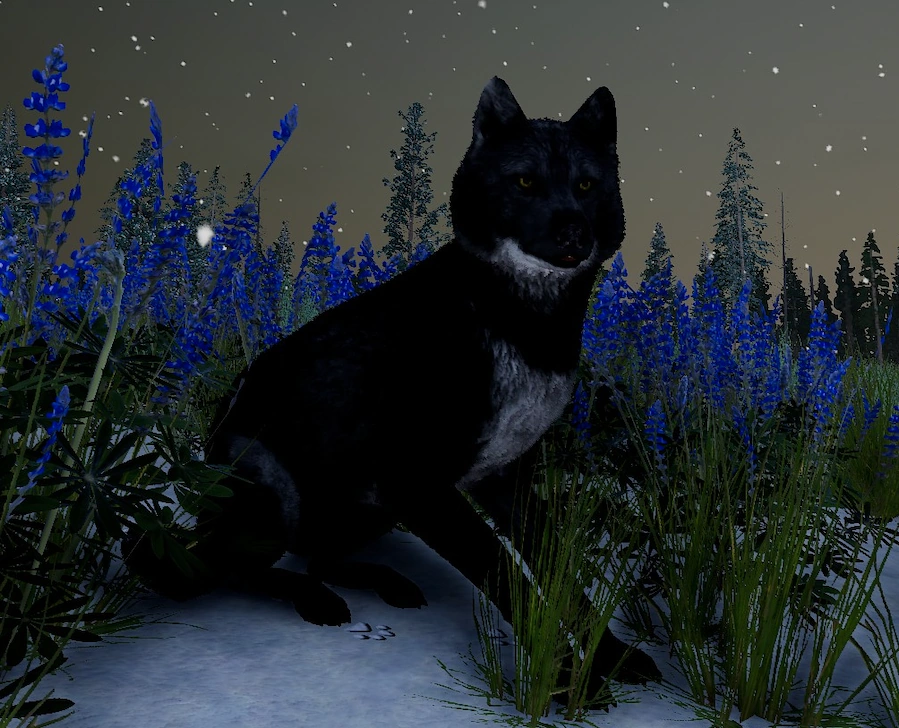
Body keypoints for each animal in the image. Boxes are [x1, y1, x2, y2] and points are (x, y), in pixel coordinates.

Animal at [124, 76, 661, 705]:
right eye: (526, 181)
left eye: (586, 185)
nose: (575, 231)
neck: (520, 323)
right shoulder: (425, 486)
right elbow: (507, 579)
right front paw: (568, 683)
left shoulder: (507, 482)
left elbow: (561, 579)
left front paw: (614, 658)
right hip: (278, 497)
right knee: (243, 571)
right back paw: (316, 601)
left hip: (369, 509)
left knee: (320, 555)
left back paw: (387, 582)